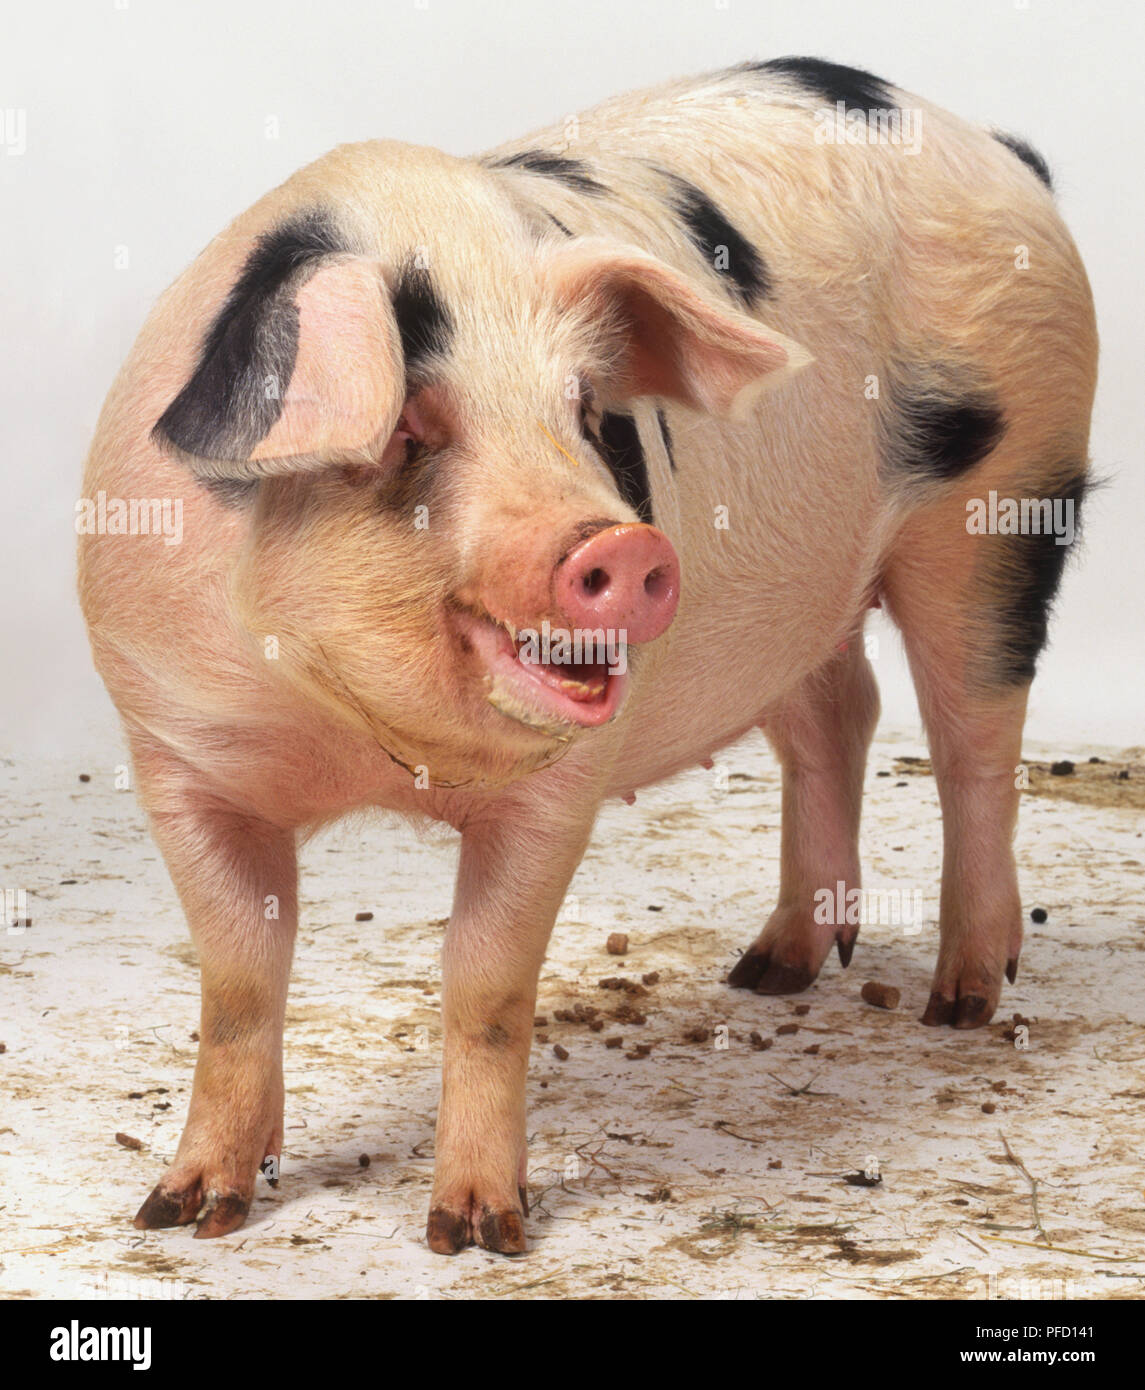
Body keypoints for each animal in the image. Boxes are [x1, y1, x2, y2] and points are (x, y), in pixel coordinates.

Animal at [78, 56, 1097, 1253]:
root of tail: (993, 150)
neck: (350, 735)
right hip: (801, 597)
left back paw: (961, 1002)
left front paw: (474, 1233)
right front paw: (186, 1212)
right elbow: (239, 982)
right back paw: (769, 972)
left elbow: (483, 985)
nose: (624, 544)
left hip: (1004, 504)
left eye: (582, 415)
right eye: (411, 428)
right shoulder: (173, 752)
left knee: (974, 741)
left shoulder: (554, 791)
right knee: (836, 715)